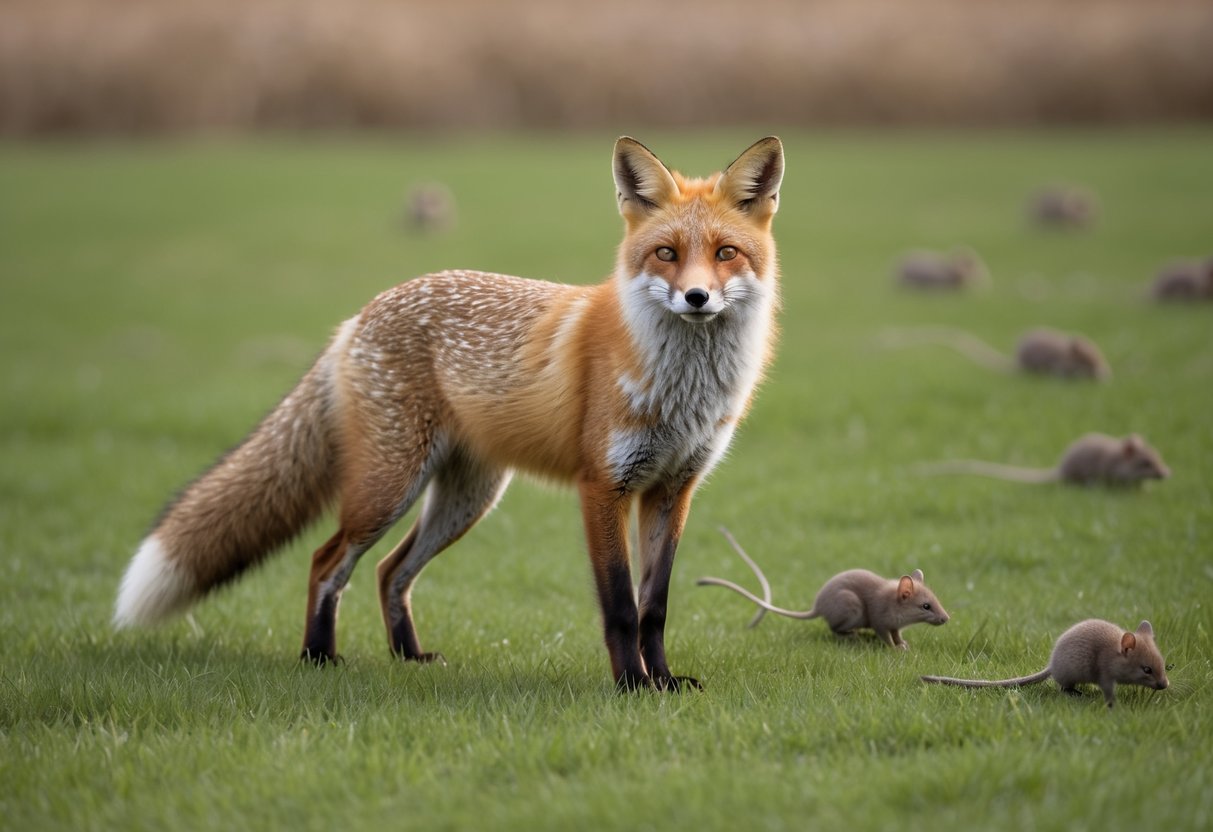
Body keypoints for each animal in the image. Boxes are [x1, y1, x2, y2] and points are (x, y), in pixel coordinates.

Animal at [114, 136, 785, 691]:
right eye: (666, 253)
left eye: (725, 252)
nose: (696, 297)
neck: (682, 388)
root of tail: (362, 313)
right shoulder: (603, 486)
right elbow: (621, 605)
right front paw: (631, 687)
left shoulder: (673, 489)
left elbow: (656, 606)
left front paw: (663, 681)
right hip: (388, 488)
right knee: (327, 560)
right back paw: (318, 657)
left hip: (466, 499)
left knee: (390, 571)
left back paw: (407, 657)